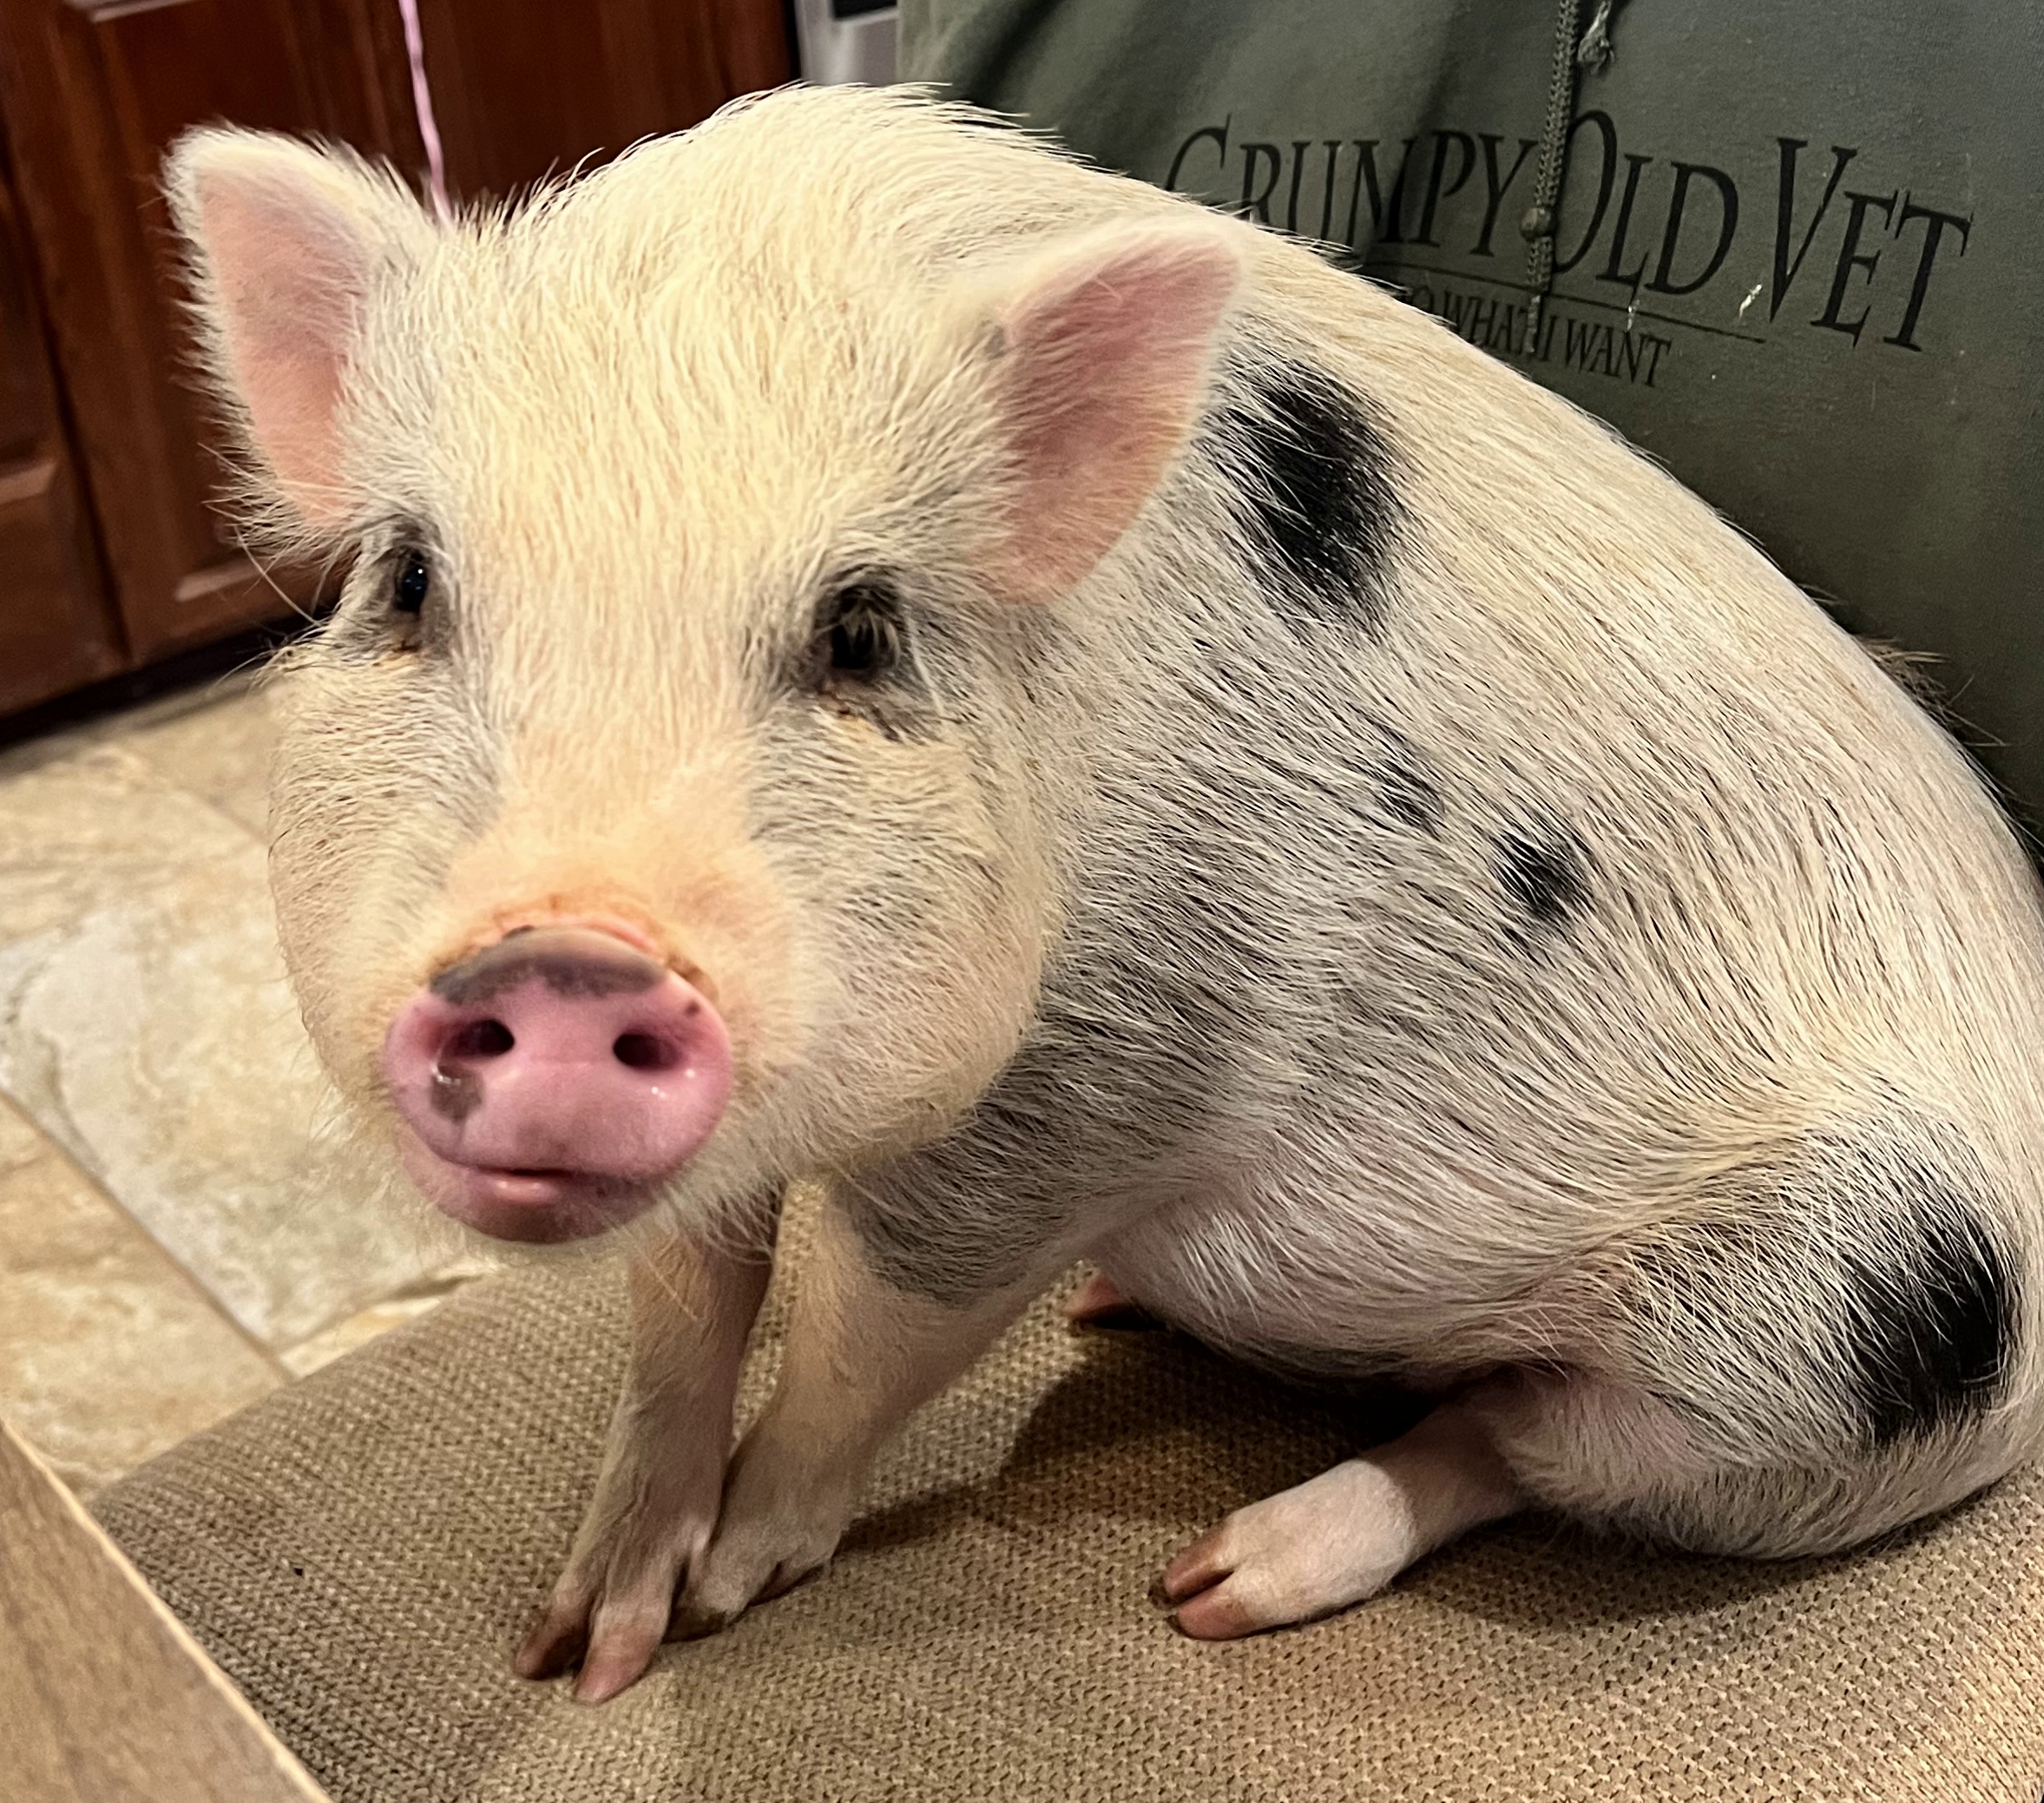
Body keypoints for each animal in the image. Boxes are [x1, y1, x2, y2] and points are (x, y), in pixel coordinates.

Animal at [164, 83, 2044, 1704]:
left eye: (863, 630)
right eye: (409, 583)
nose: (567, 952)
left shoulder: (1133, 1053)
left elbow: (865, 1334)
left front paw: (727, 1591)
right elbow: (687, 1308)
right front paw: (583, 1648)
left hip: (1854, 1326)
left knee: (1515, 1438)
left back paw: (1215, 1585)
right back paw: (1120, 1313)